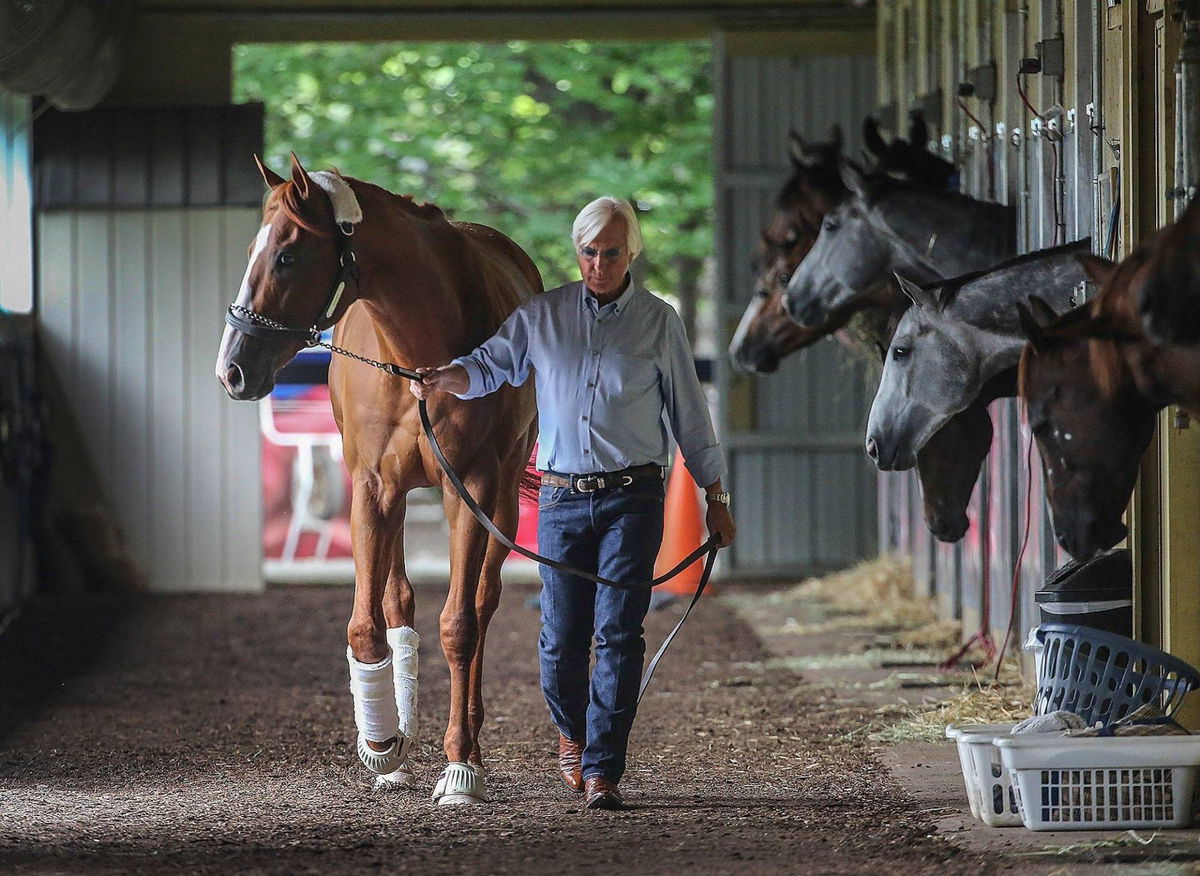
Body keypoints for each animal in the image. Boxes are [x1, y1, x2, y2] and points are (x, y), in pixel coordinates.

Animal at [215, 154, 540, 804]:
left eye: (286, 257)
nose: (231, 368)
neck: (420, 357)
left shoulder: (471, 489)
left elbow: (461, 624)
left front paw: (460, 765)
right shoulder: (371, 487)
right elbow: (367, 623)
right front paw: (382, 740)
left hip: (499, 499)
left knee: (481, 602)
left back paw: (468, 737)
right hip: (393, 498)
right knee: (397, 602)